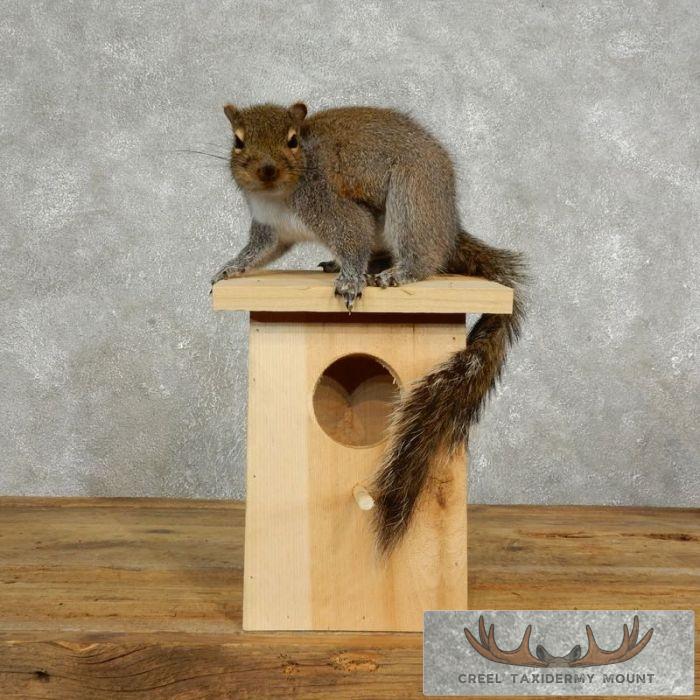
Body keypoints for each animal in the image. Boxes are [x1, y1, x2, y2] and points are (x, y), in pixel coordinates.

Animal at [212, 102, 525, 555]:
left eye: (293, 140)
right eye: (237, 141)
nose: (267, 170)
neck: (278, 196)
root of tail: (449, 228)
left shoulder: (331, 207)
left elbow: (354, 237)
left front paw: (350, 280)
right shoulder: (271, 231)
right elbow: (259, 253)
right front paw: (230, 267)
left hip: (412, 199)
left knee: (422, 258)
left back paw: (395, 273)